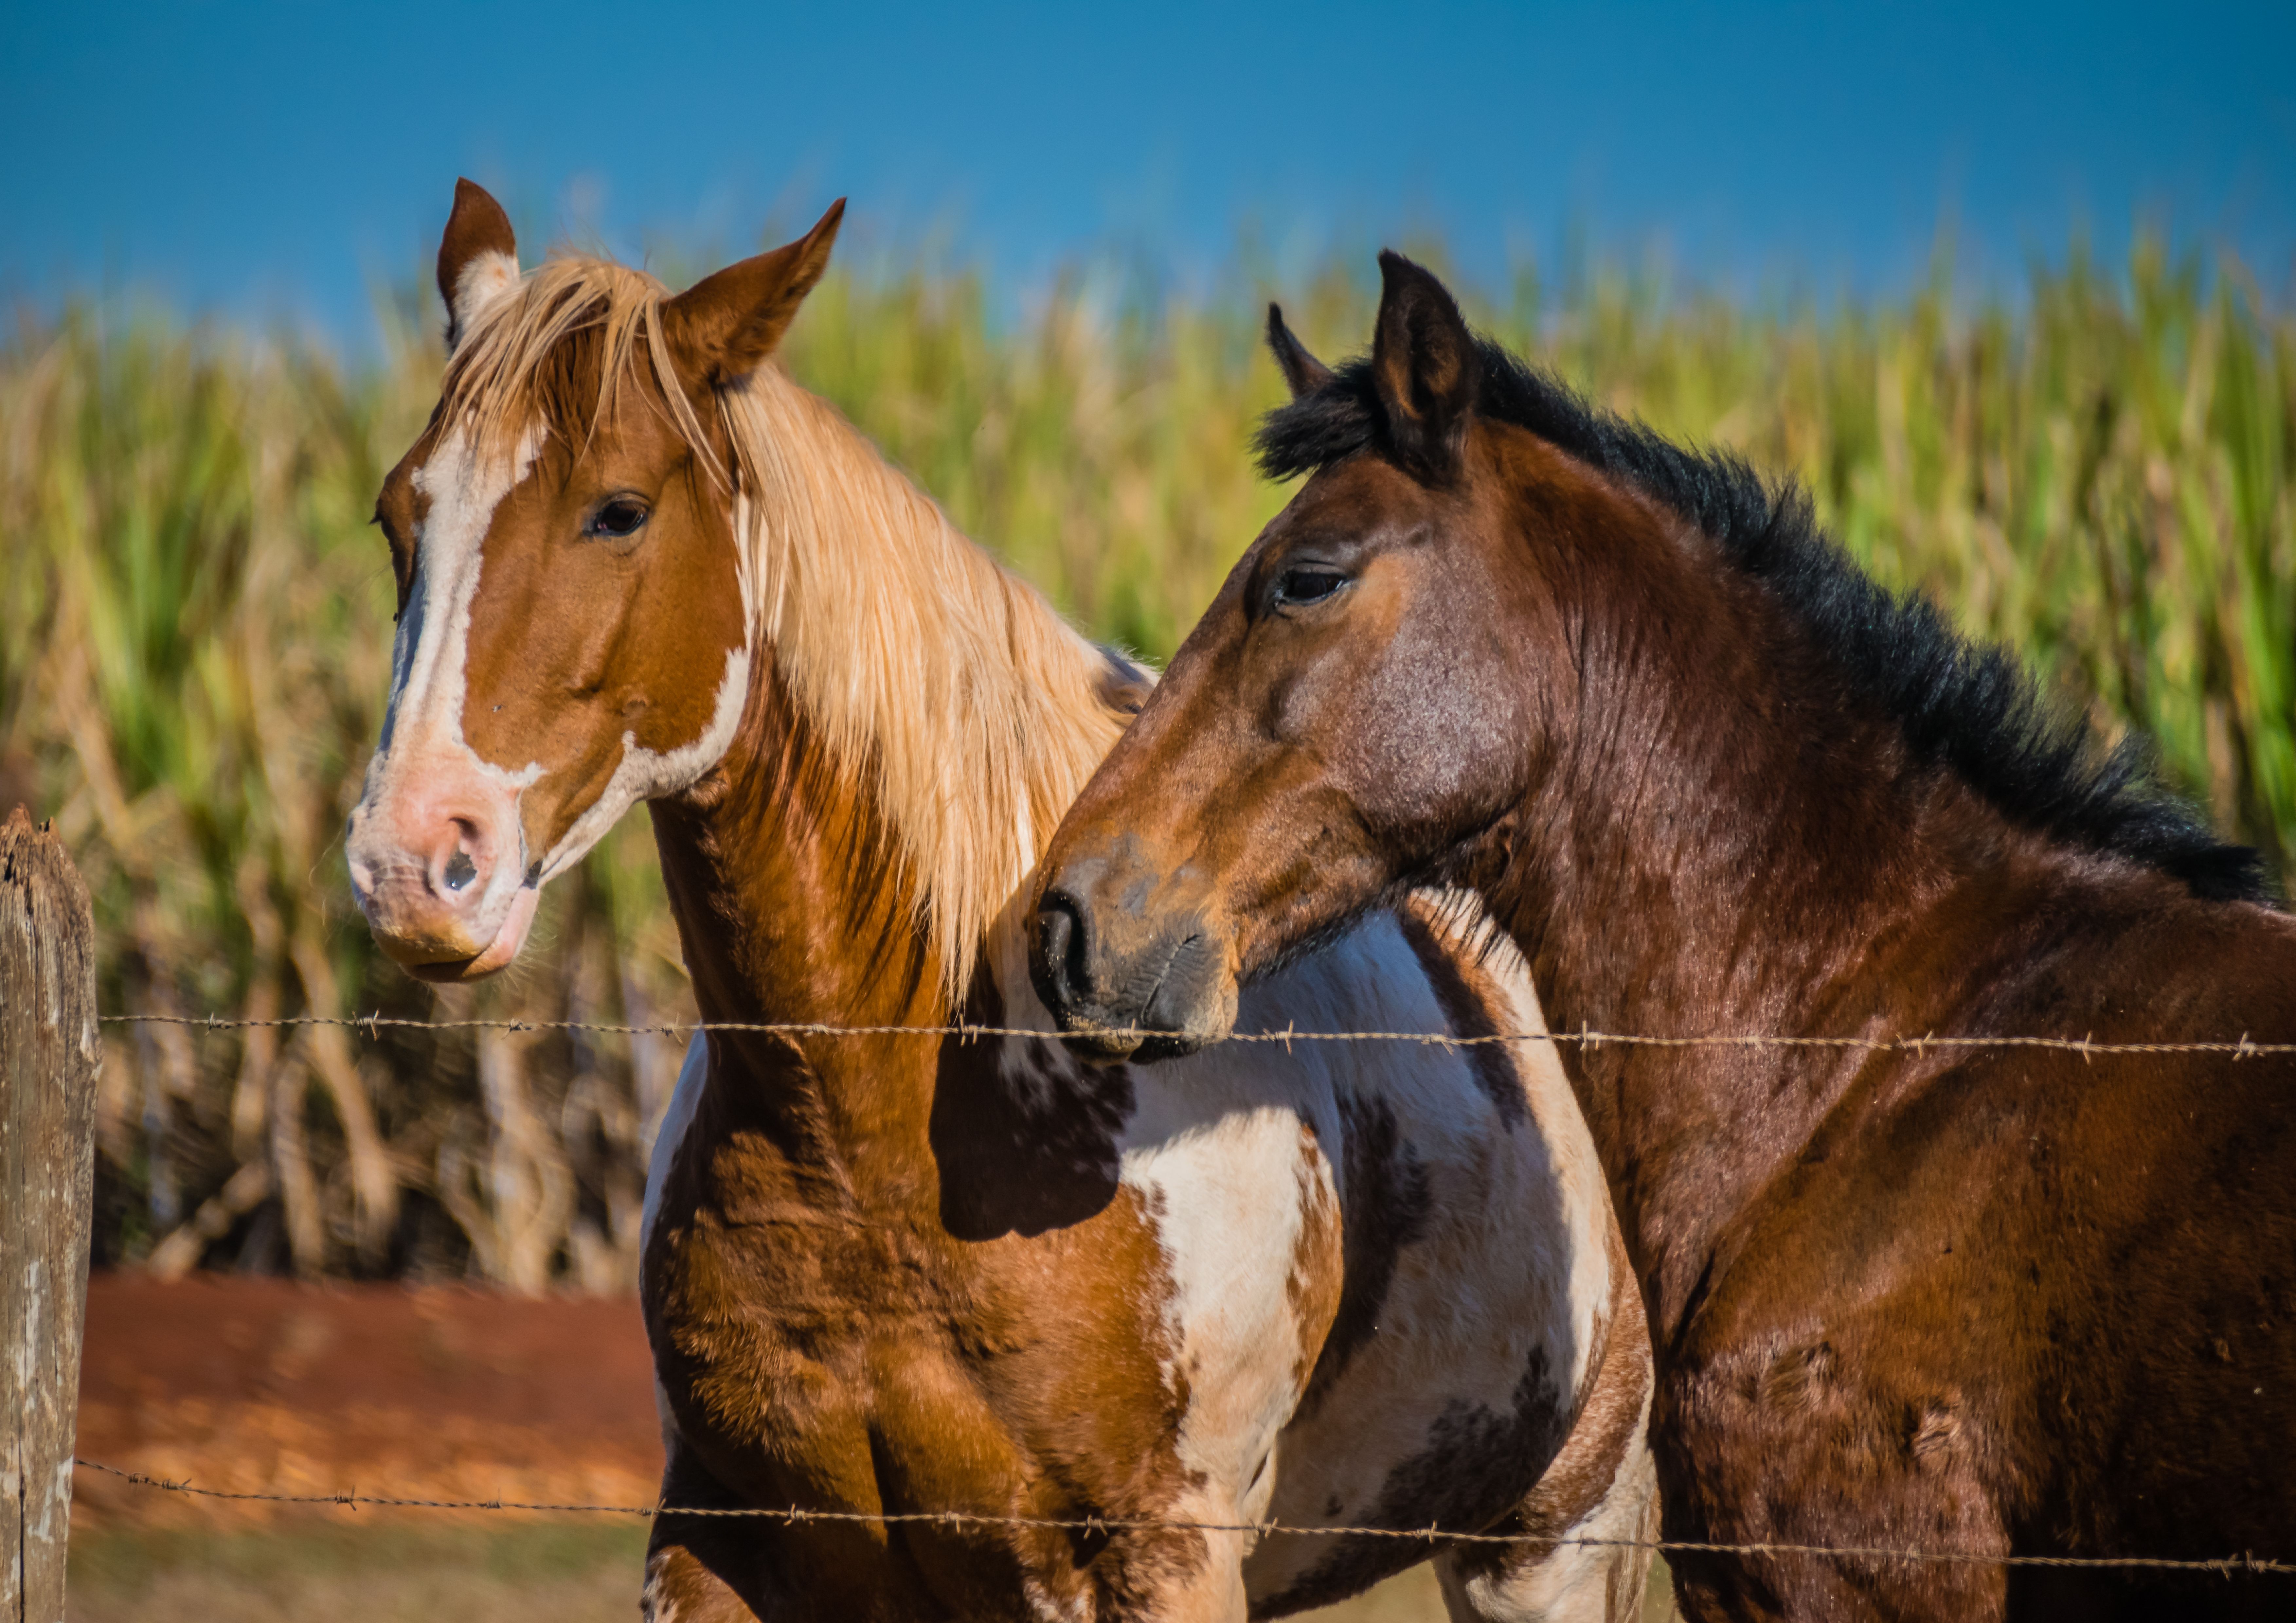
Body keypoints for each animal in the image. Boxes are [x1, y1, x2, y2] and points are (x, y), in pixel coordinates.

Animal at [342, 181, 1661, 1622]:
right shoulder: (712, 1546)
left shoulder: (1163, 1558)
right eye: (396, 517)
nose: (416, 861)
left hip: (1547, 1545)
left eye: (619, 511)